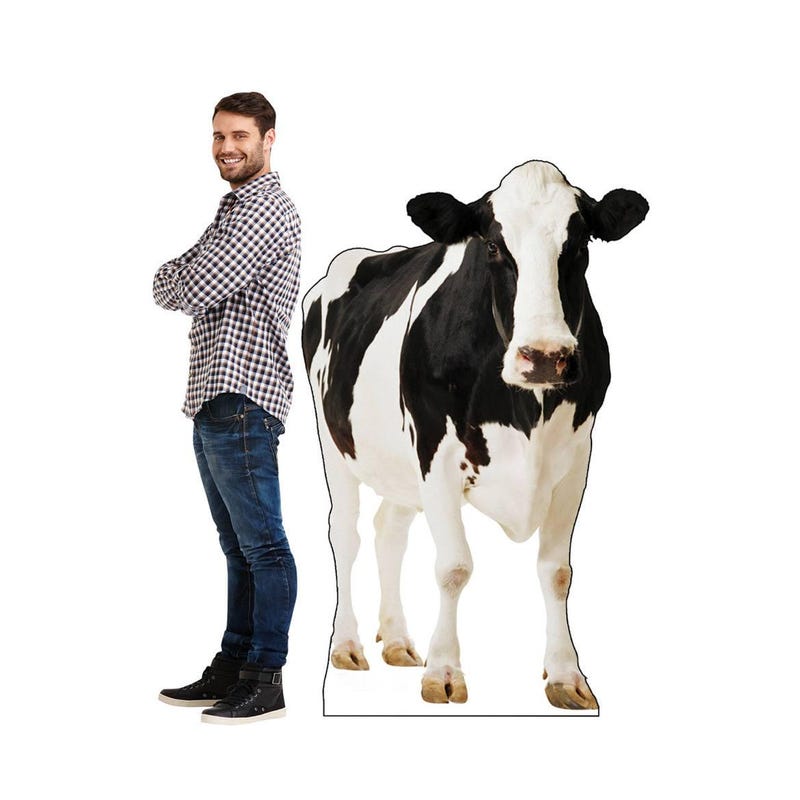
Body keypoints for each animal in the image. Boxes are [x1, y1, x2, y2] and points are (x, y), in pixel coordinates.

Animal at [302, 160, 648, 710]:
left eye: (579, 244)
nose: (545, 356)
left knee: (389, 531)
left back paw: (396, 640)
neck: (525, 408)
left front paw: (566, 676)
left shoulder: (576, 460)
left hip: (398, 464)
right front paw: (444, 671)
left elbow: (557, 571)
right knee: (345, 535)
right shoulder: (435, 453)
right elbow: (454, 567)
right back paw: (347, 644)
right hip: (334, 441)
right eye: (492, 246)